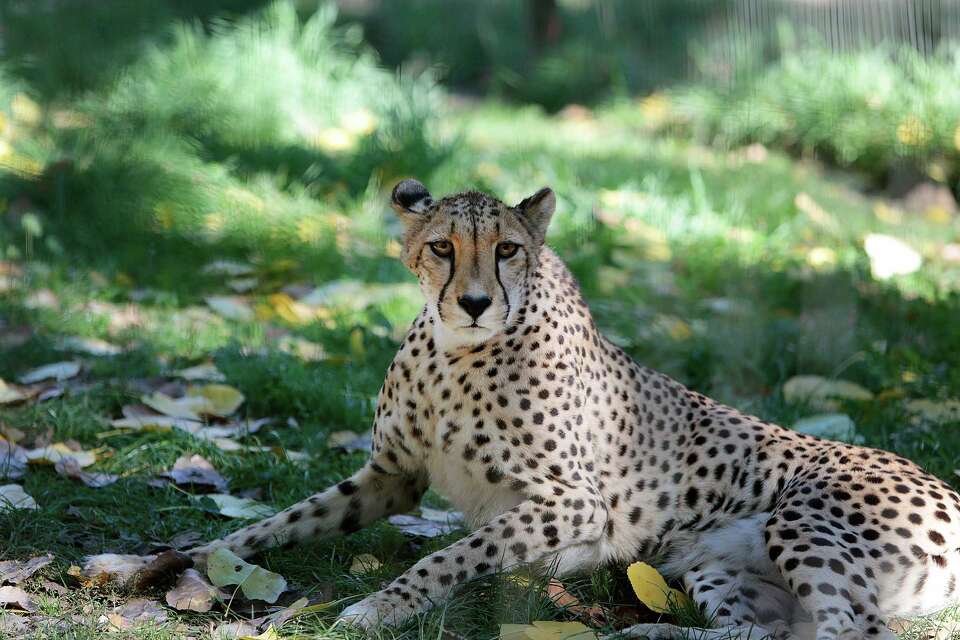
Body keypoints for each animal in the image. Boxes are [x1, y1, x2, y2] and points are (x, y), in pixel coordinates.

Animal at [187, 179, 960, 639]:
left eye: (507, 249)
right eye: (441, 247)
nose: (475, 301)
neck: (453, 352)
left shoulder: (577, 504)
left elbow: (451, 554)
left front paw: (381, 606)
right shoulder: (392, 476)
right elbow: (284, 521)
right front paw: (196, 557)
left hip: (802, 520)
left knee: (851, 630)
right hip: (719, 565)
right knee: (764, 633)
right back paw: (651, 629)